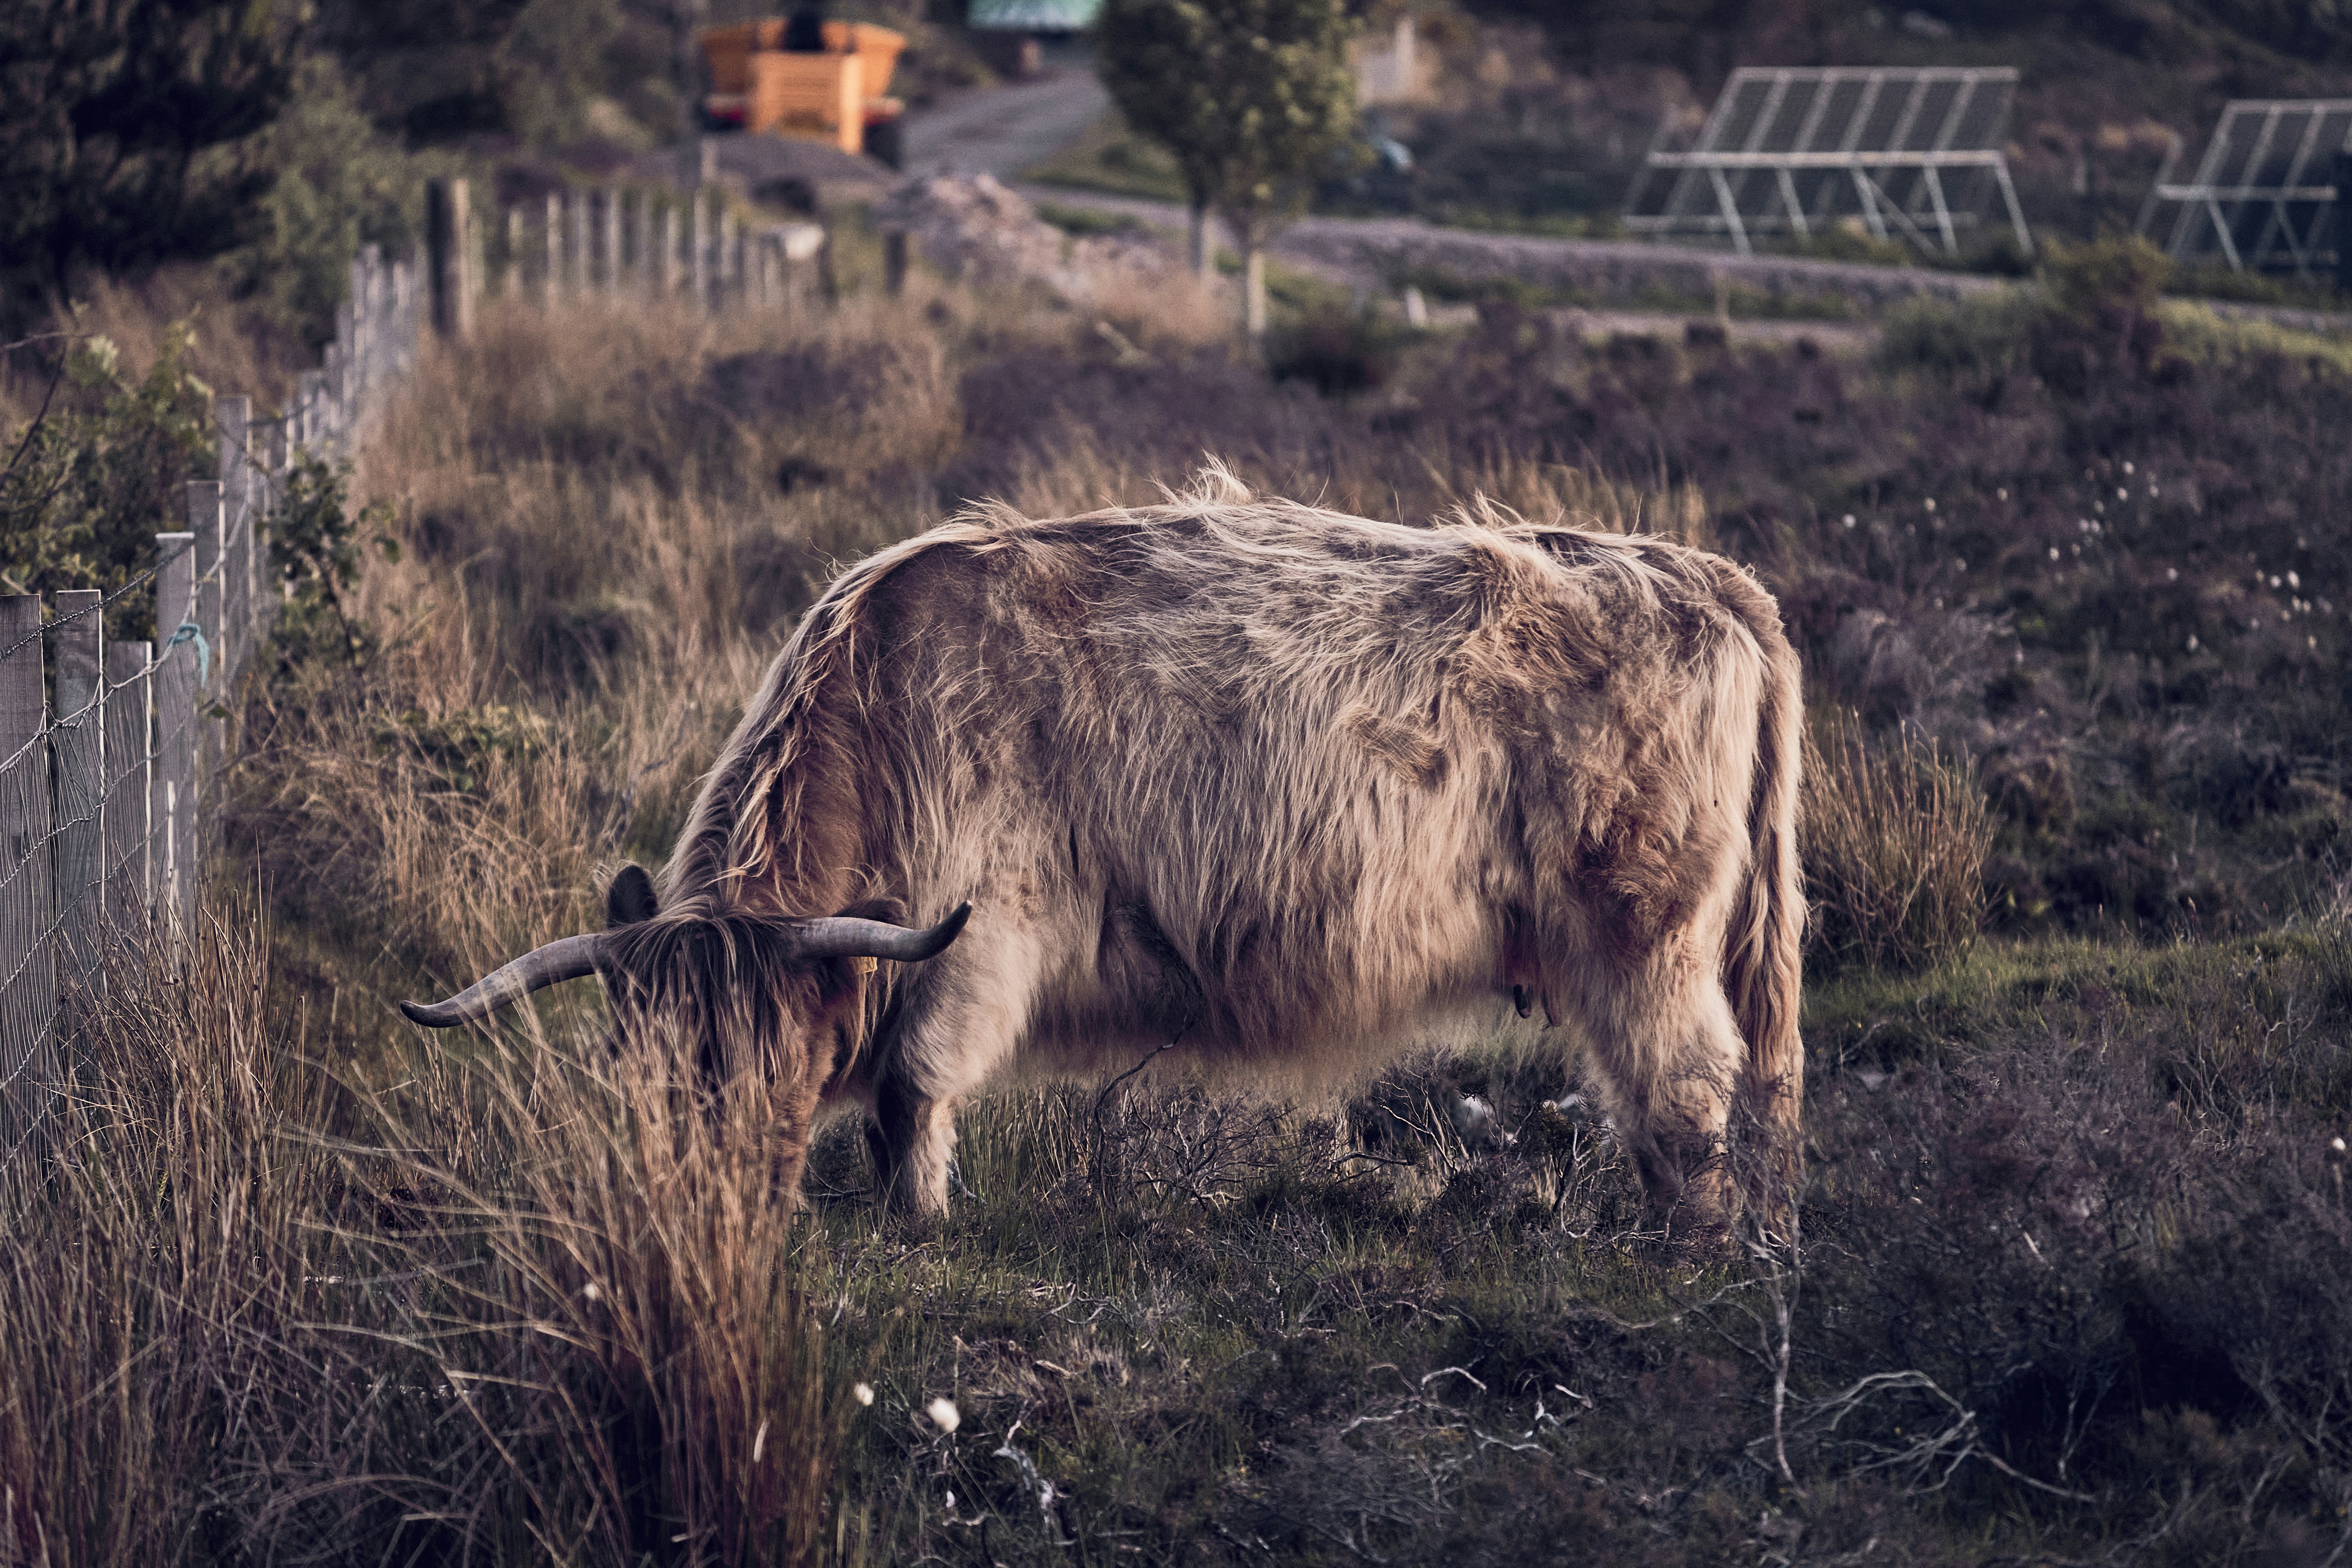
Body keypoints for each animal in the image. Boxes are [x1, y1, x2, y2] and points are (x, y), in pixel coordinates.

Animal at [402, 467, 1805, 1236]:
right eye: (642, 1067)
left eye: (763, 1059)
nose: (701, 1204)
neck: (881, 703)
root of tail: (1710, 575)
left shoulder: (986, 936)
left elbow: (915, 1085)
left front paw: (917, 1223)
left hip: (1643, 928)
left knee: (1688, 1081)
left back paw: (1683, 1246)